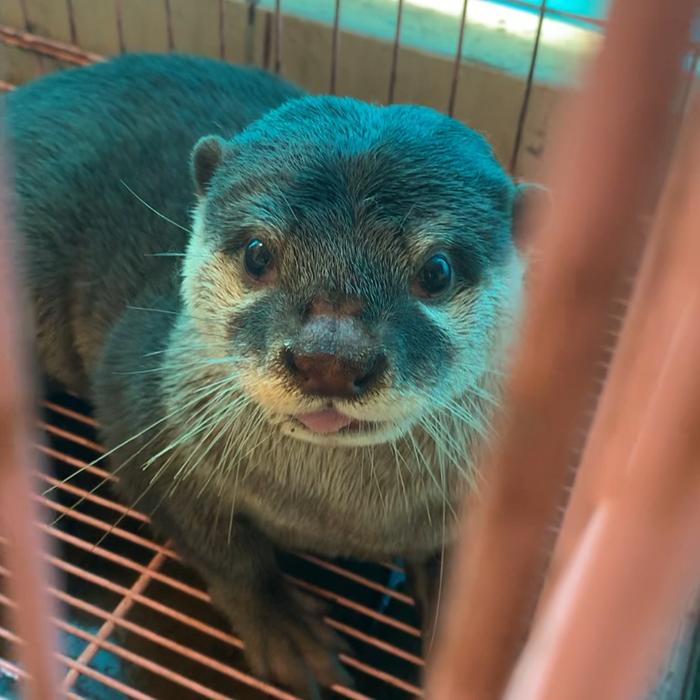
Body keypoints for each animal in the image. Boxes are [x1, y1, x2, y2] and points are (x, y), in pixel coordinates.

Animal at [4, 53, 530, 697]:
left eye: (436, 270)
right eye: (258, 253)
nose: (330, 359)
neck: (331, 518)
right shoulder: (139, 413)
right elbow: (222, 551)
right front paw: (283, 628)